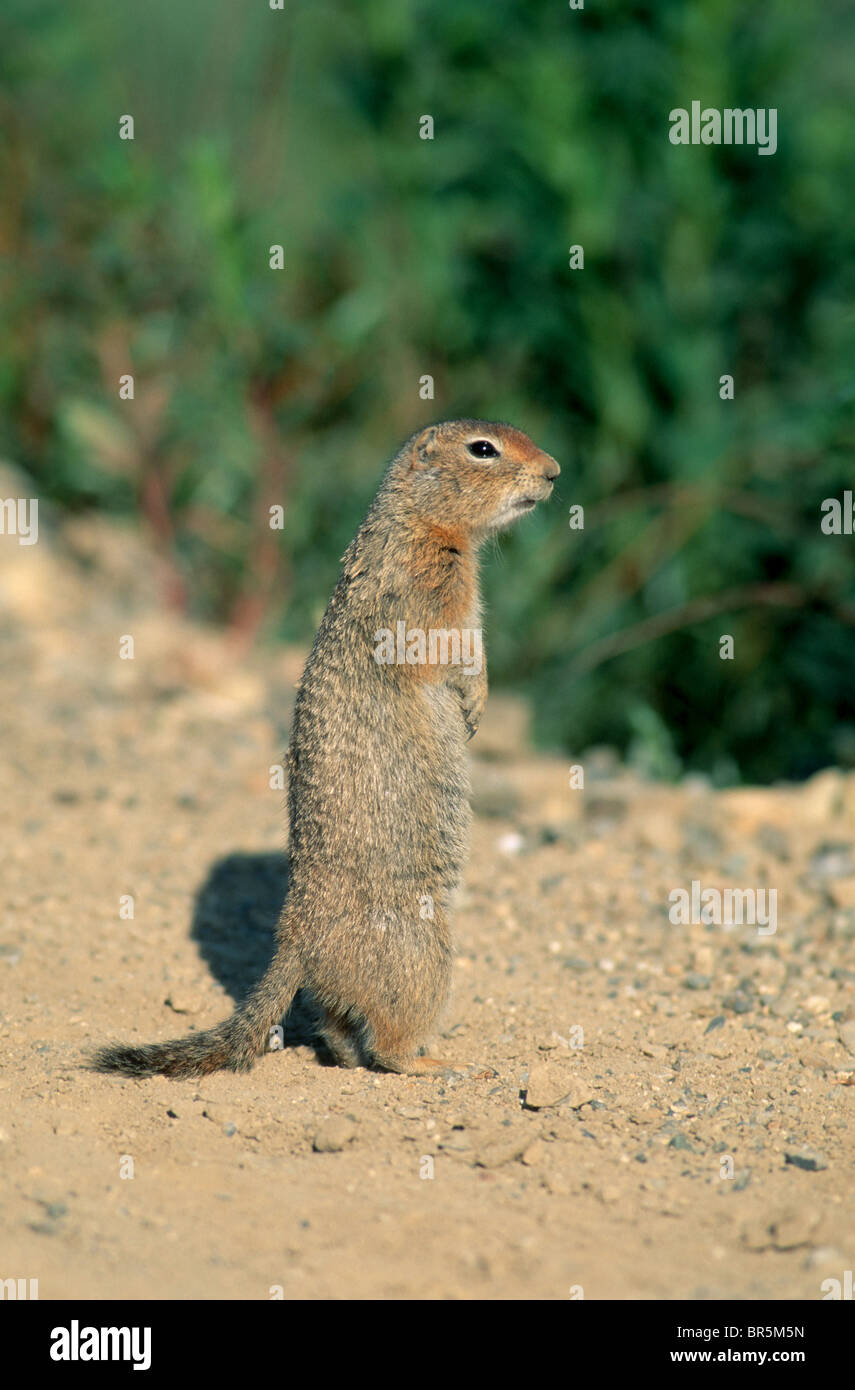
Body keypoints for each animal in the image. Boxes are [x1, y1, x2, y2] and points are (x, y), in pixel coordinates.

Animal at [91, 419, 559, 1078]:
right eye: (483, 449)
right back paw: (434, 1062)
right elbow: (458, 652)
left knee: (338, 1030)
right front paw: (476, 702)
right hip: (422, 951)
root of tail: (296, 942)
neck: (418, 524)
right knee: (385, 1047)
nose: (555, 471)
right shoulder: (430, 593)